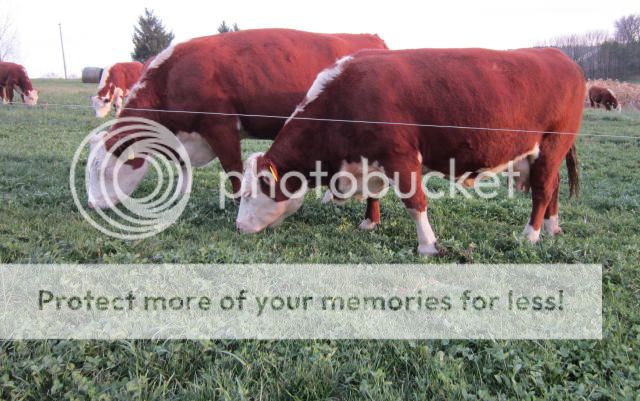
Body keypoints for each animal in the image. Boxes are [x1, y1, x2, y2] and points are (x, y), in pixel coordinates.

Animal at [86, 28, 387, 209]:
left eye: (103, 169)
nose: (91, 204)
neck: (174, 77)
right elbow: (184, 166)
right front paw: (181, 195)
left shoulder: (220, 126)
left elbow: (232, 167)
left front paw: (238, 199)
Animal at [236, 48, 584, 256]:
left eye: (251, 194)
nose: (238, 227)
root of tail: (557, 54)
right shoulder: (370, 160)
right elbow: (374, 194)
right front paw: (370, 223)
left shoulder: (400, 157)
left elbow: (415, 202)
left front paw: (428, 245)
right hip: (541, 154)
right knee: (552, 186)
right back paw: (552, 227)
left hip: (551, 144)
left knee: (542, 190)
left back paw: (531, 234)